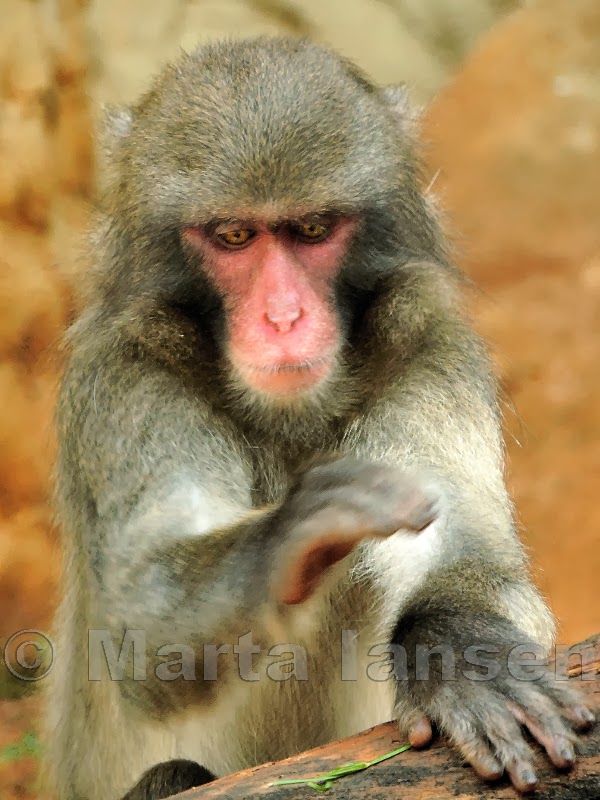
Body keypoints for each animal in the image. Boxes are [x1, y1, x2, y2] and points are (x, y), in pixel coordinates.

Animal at [45, 36, 594, 800]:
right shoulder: (124, 377)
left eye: (311, 230)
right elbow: (137, 641)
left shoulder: (428, 345)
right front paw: (292, 532)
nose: (284, 317)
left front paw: (457, 650)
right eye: (235, 236)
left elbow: (473, 560)